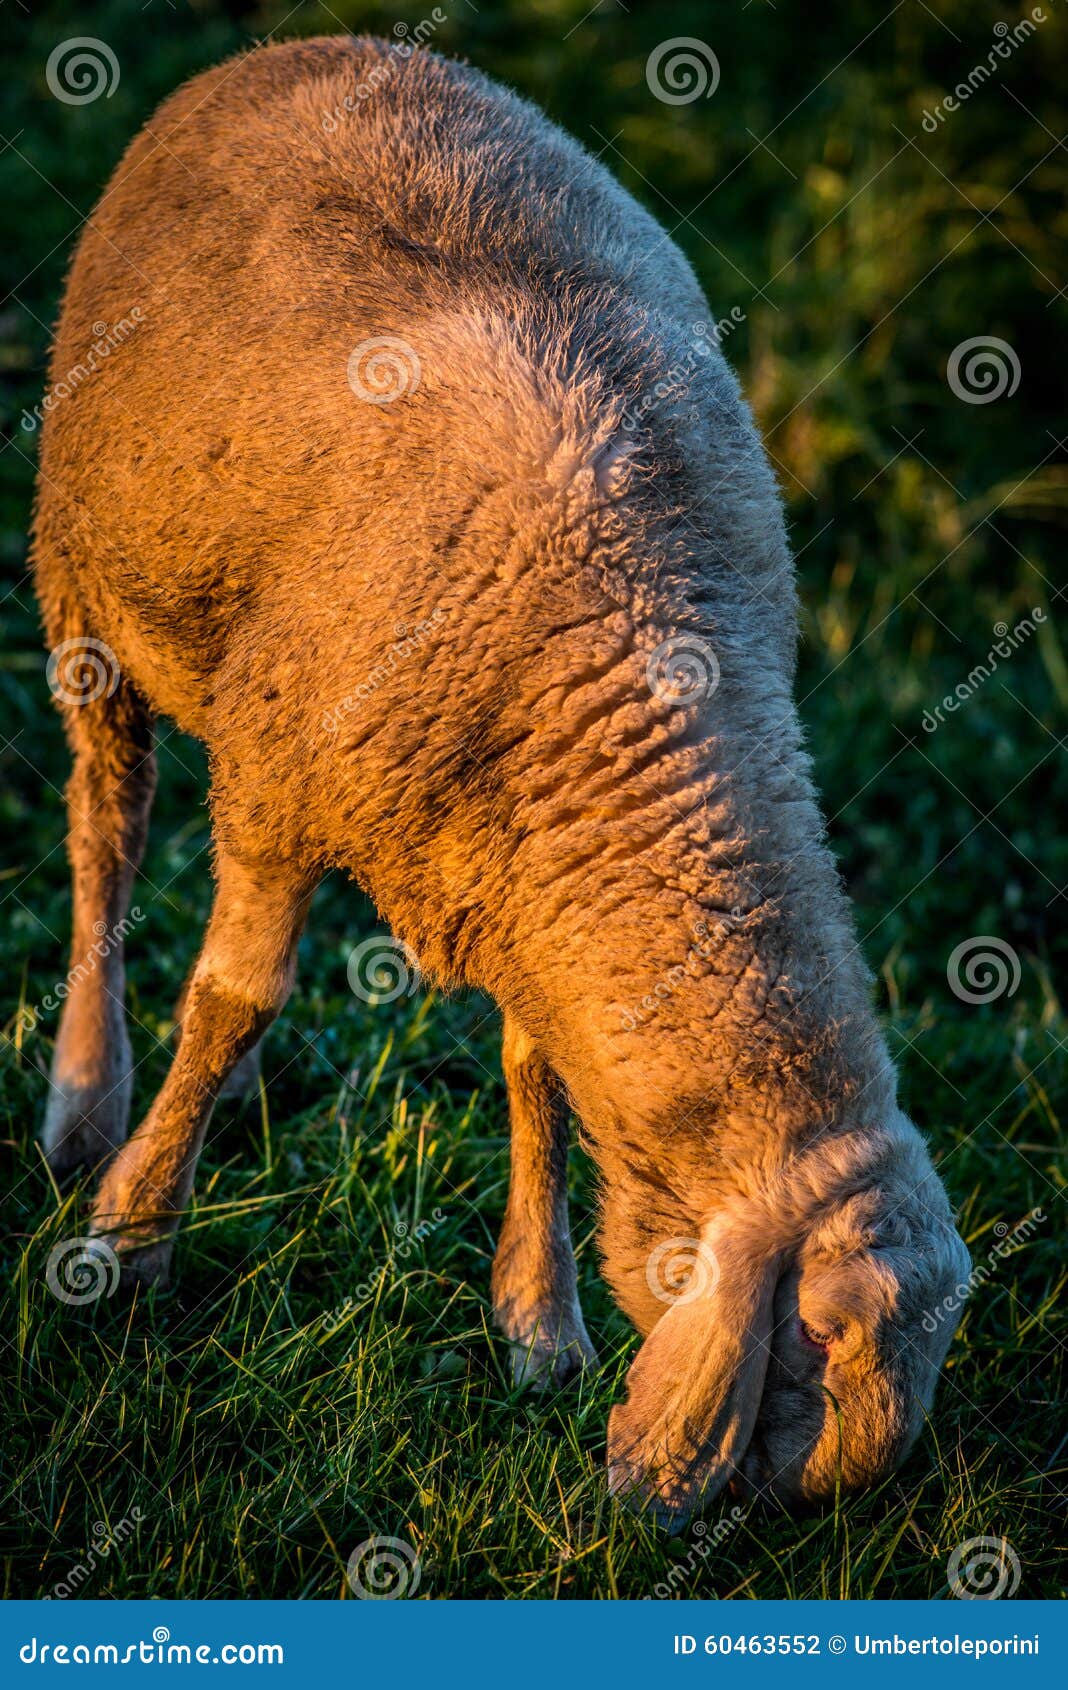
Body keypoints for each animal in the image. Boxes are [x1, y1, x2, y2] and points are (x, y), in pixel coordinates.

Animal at [32, 35, 971, 1520]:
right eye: (815, 1340)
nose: (777, 1516)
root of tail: (319, 45)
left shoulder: (522, 873)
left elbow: (537, 1079)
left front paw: (538, 1321)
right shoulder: (283, 773)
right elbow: (236, 996)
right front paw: (127, 1243)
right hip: (89, 583)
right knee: (104, 838)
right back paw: (92, 1106)